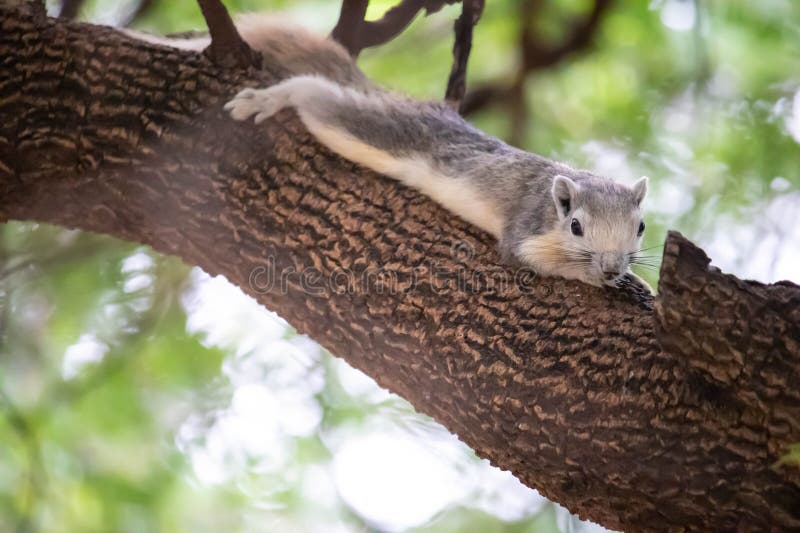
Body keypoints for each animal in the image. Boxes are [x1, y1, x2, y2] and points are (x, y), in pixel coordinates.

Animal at [124, 14, 651, 289]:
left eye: (641, 227)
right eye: (575, 225)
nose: (611, 267)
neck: (554, 195)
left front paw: (636, 279)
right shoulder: (525, 227)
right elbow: (532, 257)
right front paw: (601, 278)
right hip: (366, 126)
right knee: (316, 94)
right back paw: (273, 98)